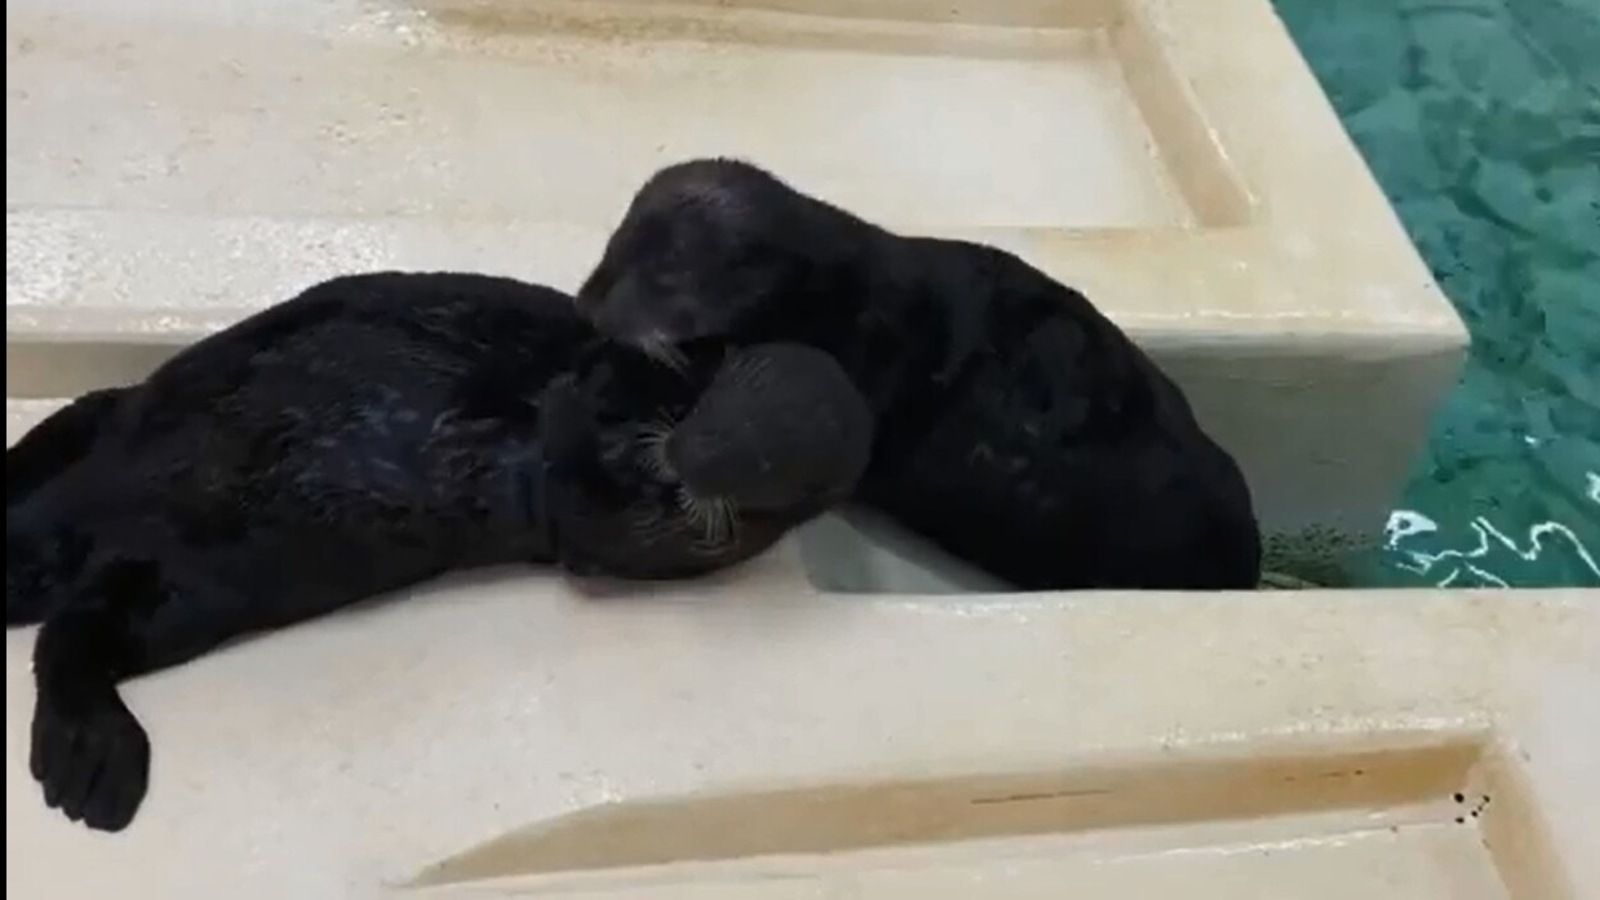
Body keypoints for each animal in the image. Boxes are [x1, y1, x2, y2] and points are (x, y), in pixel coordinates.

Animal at [7, 270, 872, 833]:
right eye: (725, 401)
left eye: (763, 465)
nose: (690, 450)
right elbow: (593, 377)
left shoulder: (661, 539)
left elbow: (593, 511)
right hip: (109, 420)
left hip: (184, 594)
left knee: (76, 631)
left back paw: (91, 762)